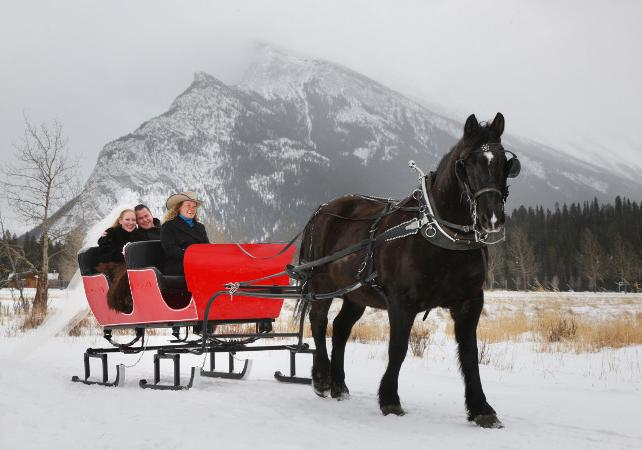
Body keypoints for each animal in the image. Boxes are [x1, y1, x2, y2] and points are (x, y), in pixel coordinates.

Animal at [298, 113, 516, 428]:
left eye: (504, 162)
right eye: (466, 162)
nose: (492, 218)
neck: (440, 237)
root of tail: (324, 209)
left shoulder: (470, 303)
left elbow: (470, 354)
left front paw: (481, 408)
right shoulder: (402, 303)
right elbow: (398, 349)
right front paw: (390, 399)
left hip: (356, 293)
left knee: (340, 328)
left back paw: (339, 385)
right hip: (322, 285)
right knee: (318, 322)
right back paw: (322, 379)